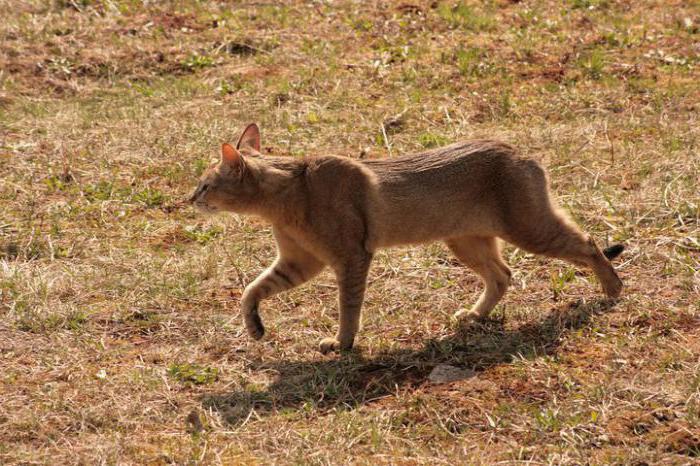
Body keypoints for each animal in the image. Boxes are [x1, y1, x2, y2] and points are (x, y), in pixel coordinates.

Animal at [190, 124, 624, 354]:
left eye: (206, 185)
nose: (189, 198)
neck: (293, 191)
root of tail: (518, 150)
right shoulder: (299, 262)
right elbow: (252, 289)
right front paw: (254, 328)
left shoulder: (351, 257)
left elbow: (349, 306)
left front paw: (342, 343)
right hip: (467, 240)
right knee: (503, 274)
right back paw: (474, 316)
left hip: (530, 228)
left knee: (588, 243)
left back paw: (612, 290)